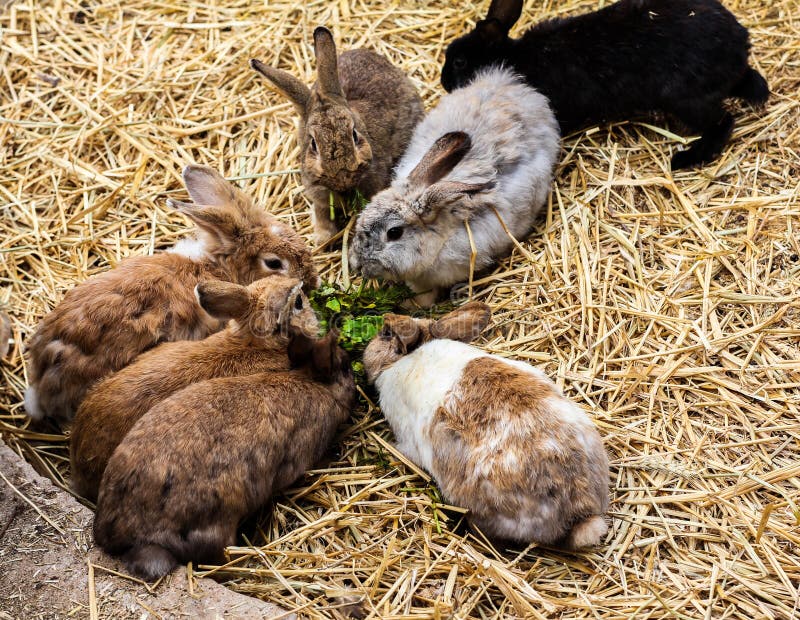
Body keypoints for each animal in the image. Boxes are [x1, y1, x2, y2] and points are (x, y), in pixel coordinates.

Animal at [440, 0, 769, 170]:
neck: (514, 58)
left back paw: (686, 159)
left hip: (685, 100)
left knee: (723, 121)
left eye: (459, 62)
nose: (443, 82)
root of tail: (740, 45)